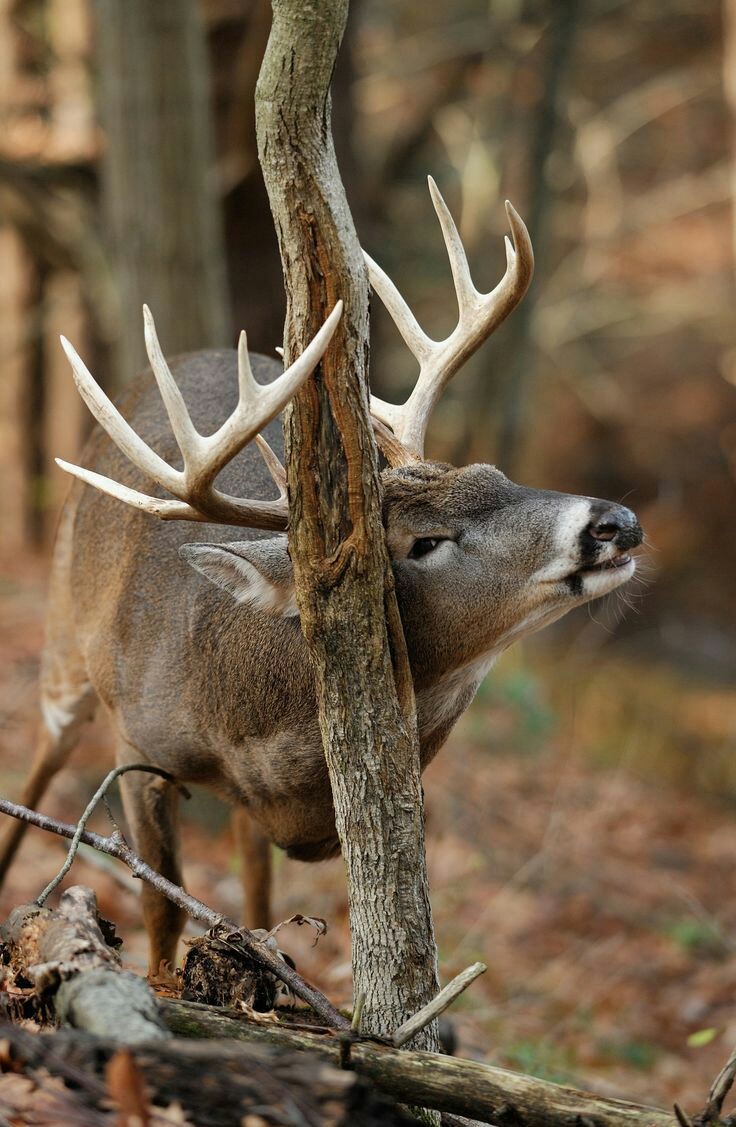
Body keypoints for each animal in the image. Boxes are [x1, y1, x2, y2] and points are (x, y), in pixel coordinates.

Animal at [0, 181, 642, 973]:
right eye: (425, 542)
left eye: (494, 473)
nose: (614, 521)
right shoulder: (138, 748)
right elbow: (162, 906)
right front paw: (160, 982)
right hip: (66, 633)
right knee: (40, 762)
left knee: (251, 867)